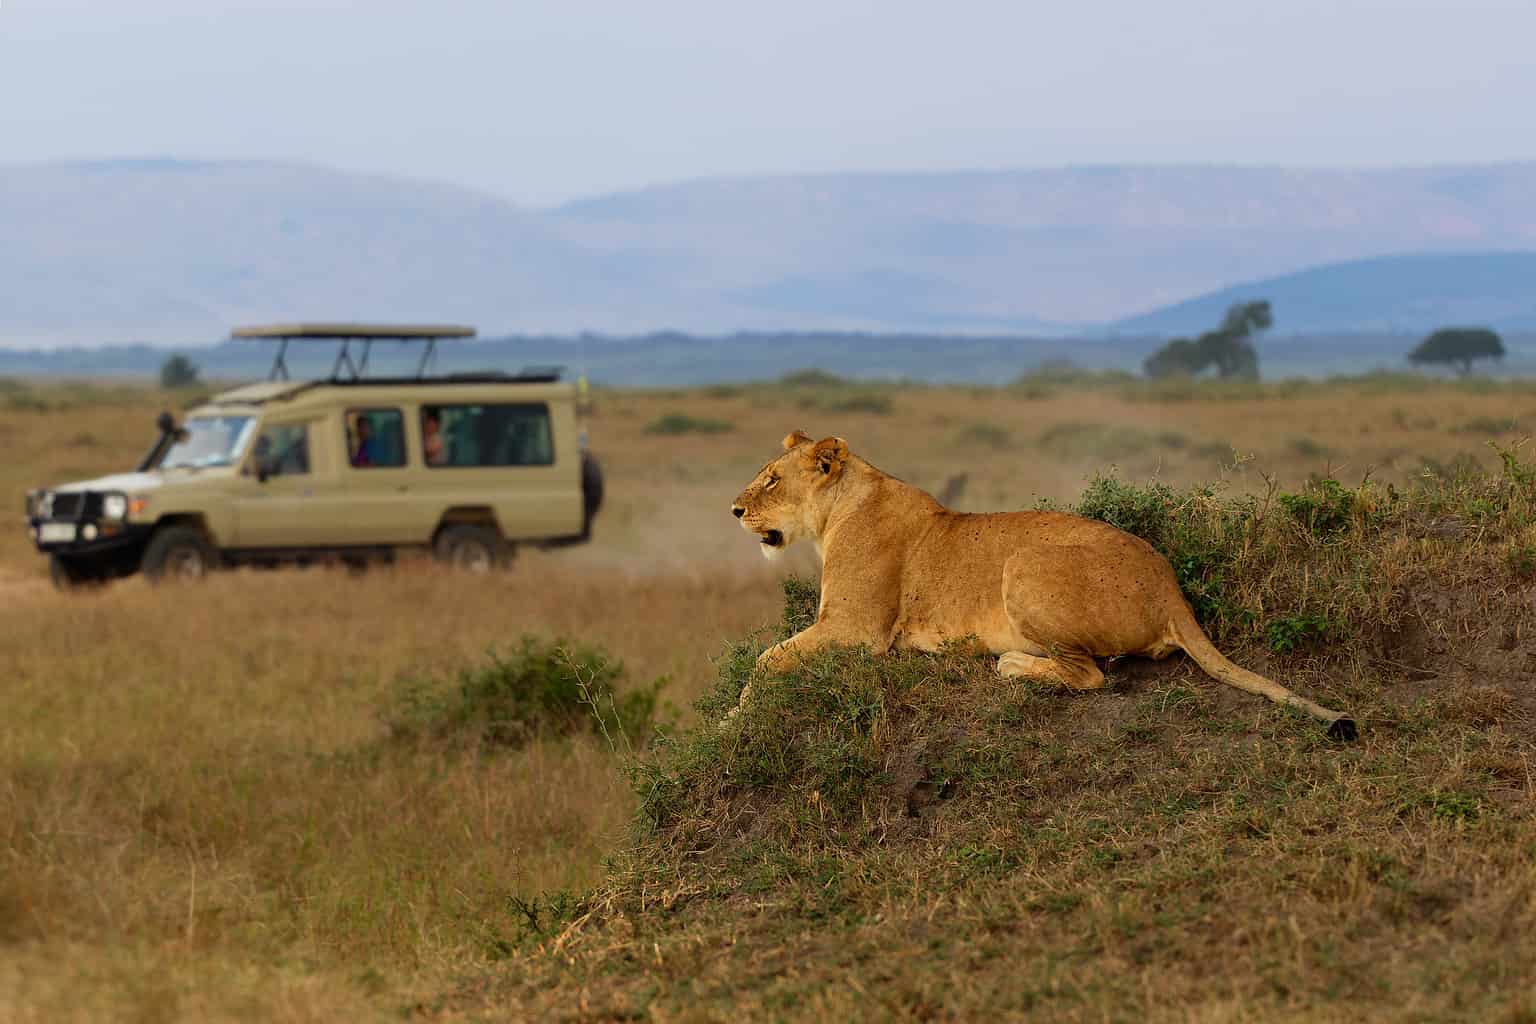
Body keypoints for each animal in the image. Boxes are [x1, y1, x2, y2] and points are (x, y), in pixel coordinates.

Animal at [729, 430, 1356, 740]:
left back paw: (1012, 663)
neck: (839, 510)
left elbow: (765, 660)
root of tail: (1171, 589)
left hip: (1024, 563)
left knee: (1089, 676)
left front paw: (732, 718)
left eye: (772, 480)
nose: (734, 510)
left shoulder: (856, 628)